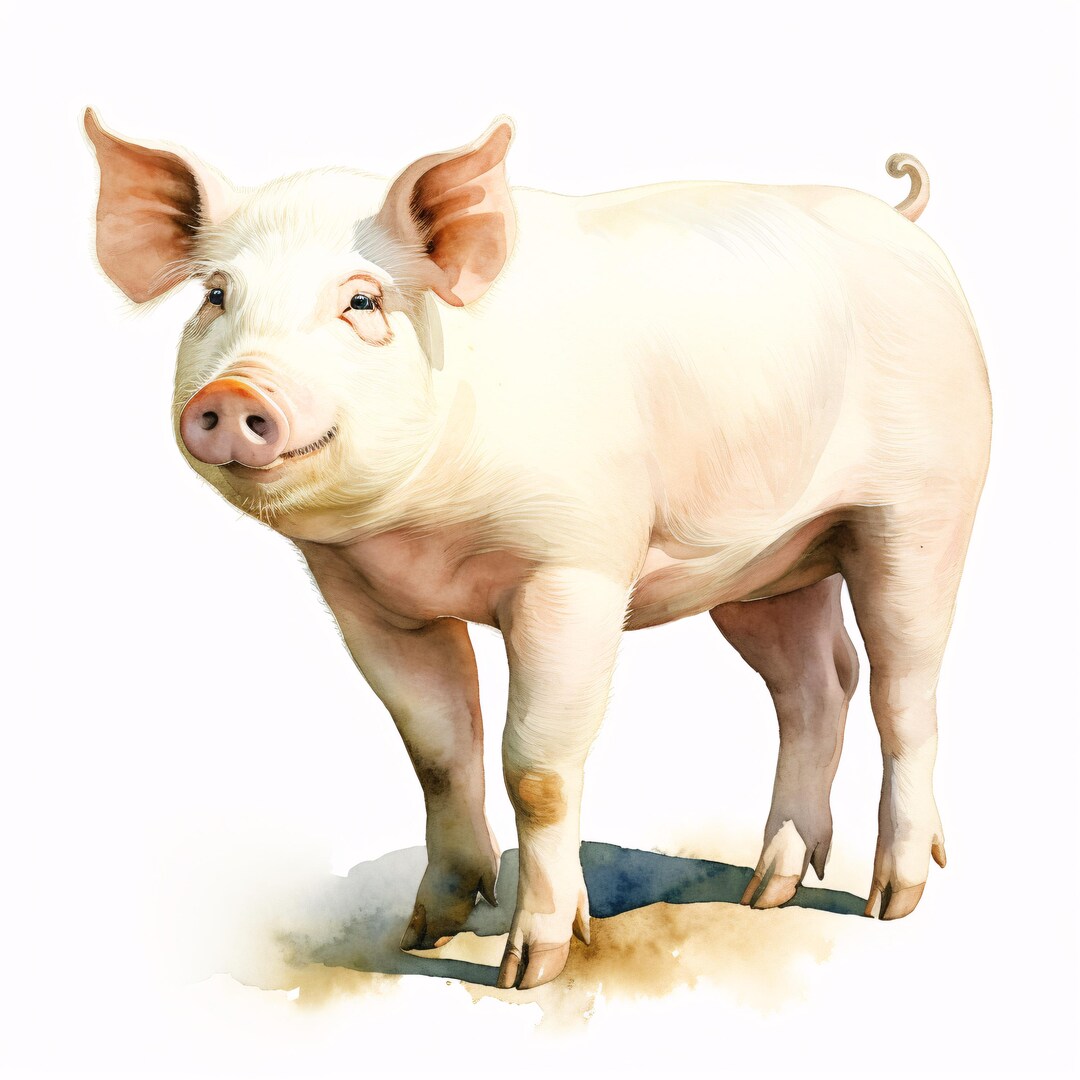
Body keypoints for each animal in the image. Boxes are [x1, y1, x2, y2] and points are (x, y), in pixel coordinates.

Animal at [85, 108, 990, 990]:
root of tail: (904, 223)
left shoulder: (577, 567)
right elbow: (436, 749)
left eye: (363, 302)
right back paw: (766, 890)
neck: (424, 532)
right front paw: (424, 931)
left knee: (903, 691)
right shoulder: (366, 598)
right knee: (817, 683)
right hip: (765, 566)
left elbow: (538, 768)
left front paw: (531, 970)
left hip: (925, 505)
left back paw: (890, 900)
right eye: (215, 295)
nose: (234, 393)